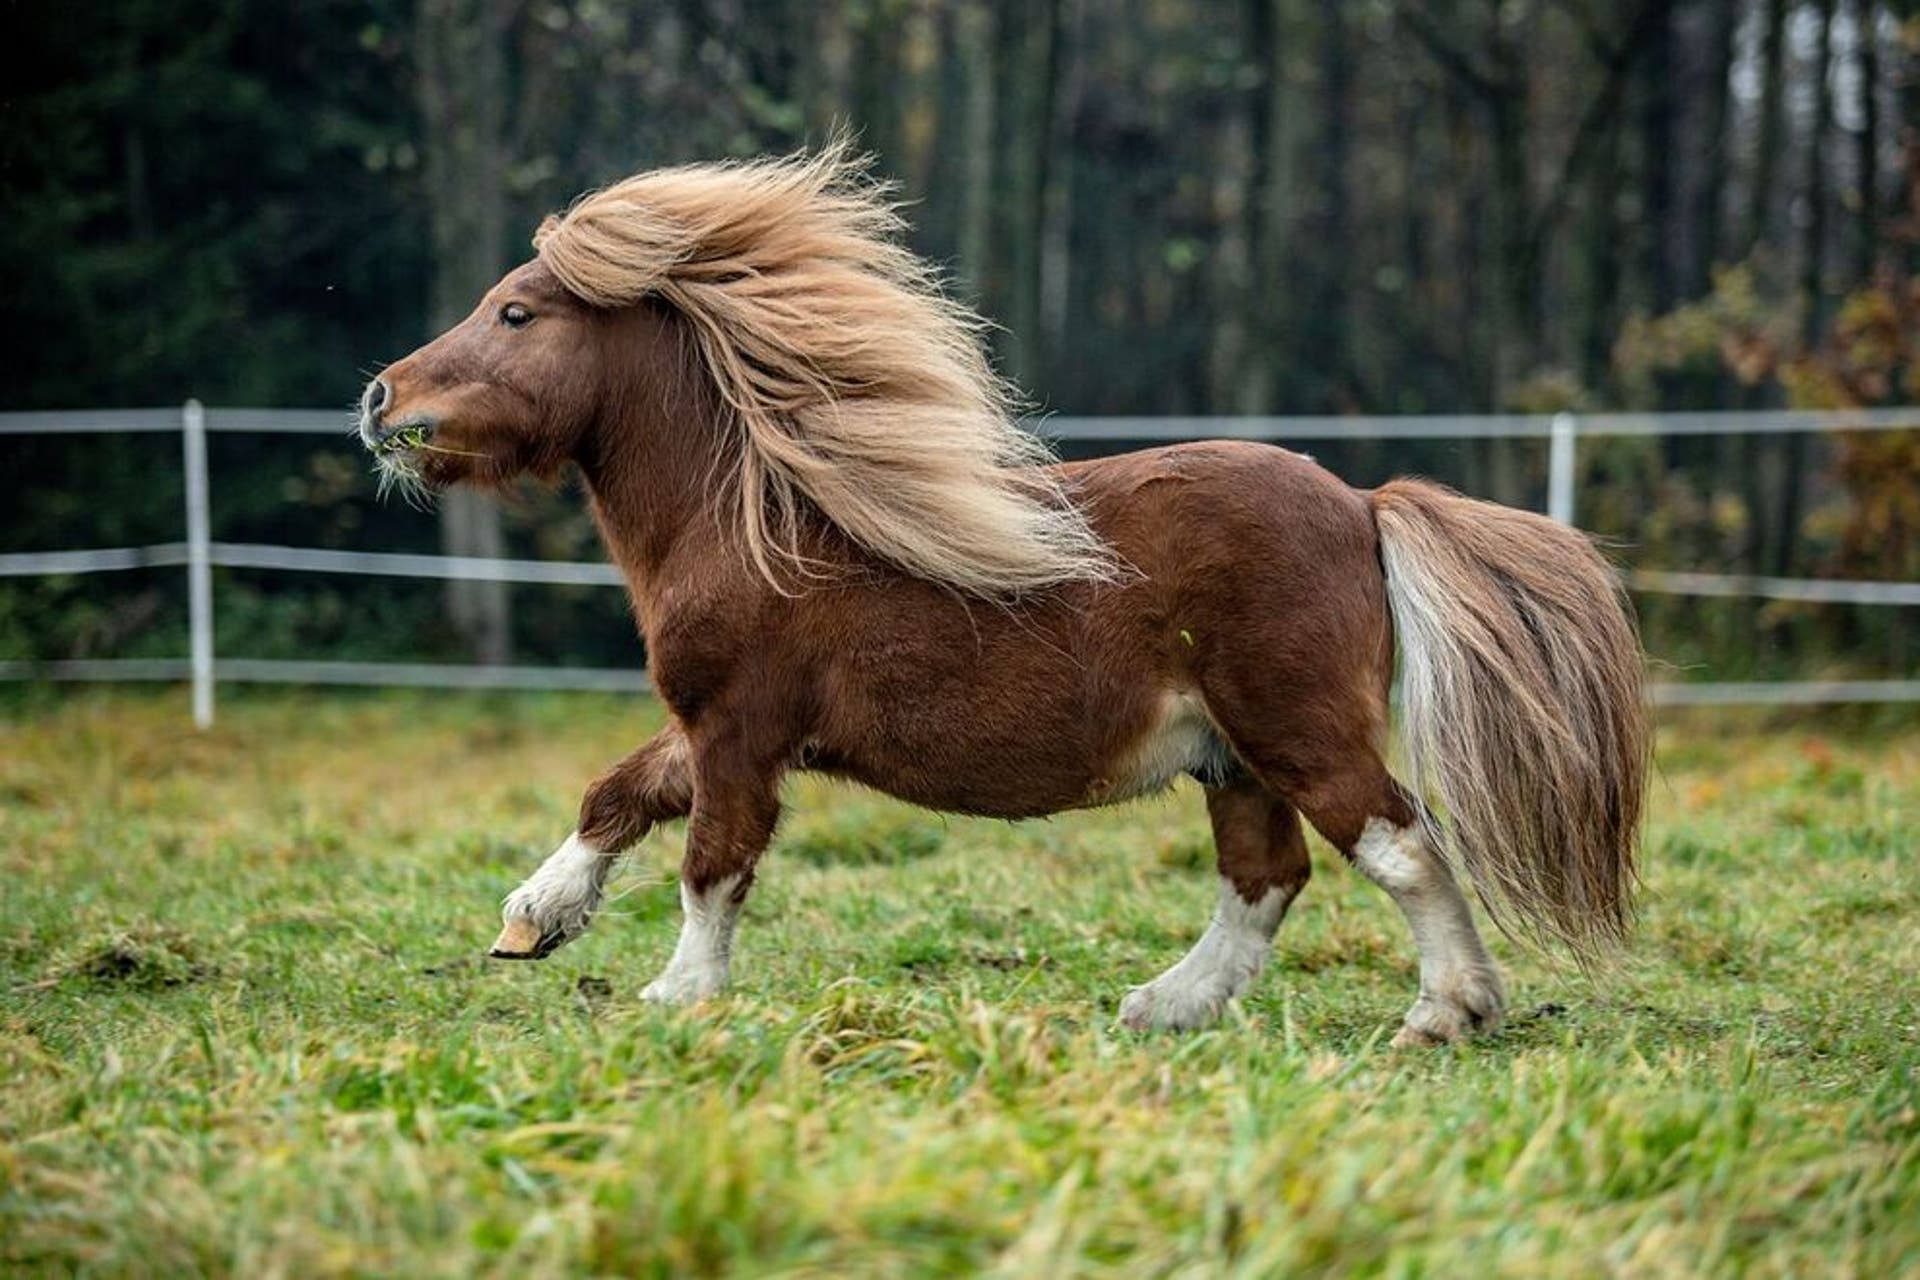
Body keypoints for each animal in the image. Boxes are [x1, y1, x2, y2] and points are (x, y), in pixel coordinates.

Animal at [358, 145, 1648, 1046]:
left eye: (516, 312)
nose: (378, 398)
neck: (753, 522)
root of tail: (1365, 504)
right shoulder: (719, 726)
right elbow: (616, 791)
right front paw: (533, 917)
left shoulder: (739, 731)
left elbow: (711, 862)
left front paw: (678, 992)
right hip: (1232, 756)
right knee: (1265, 879)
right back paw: (1163, 1005)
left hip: (1296, 728)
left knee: (1400, 843)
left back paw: (1446, 1009)